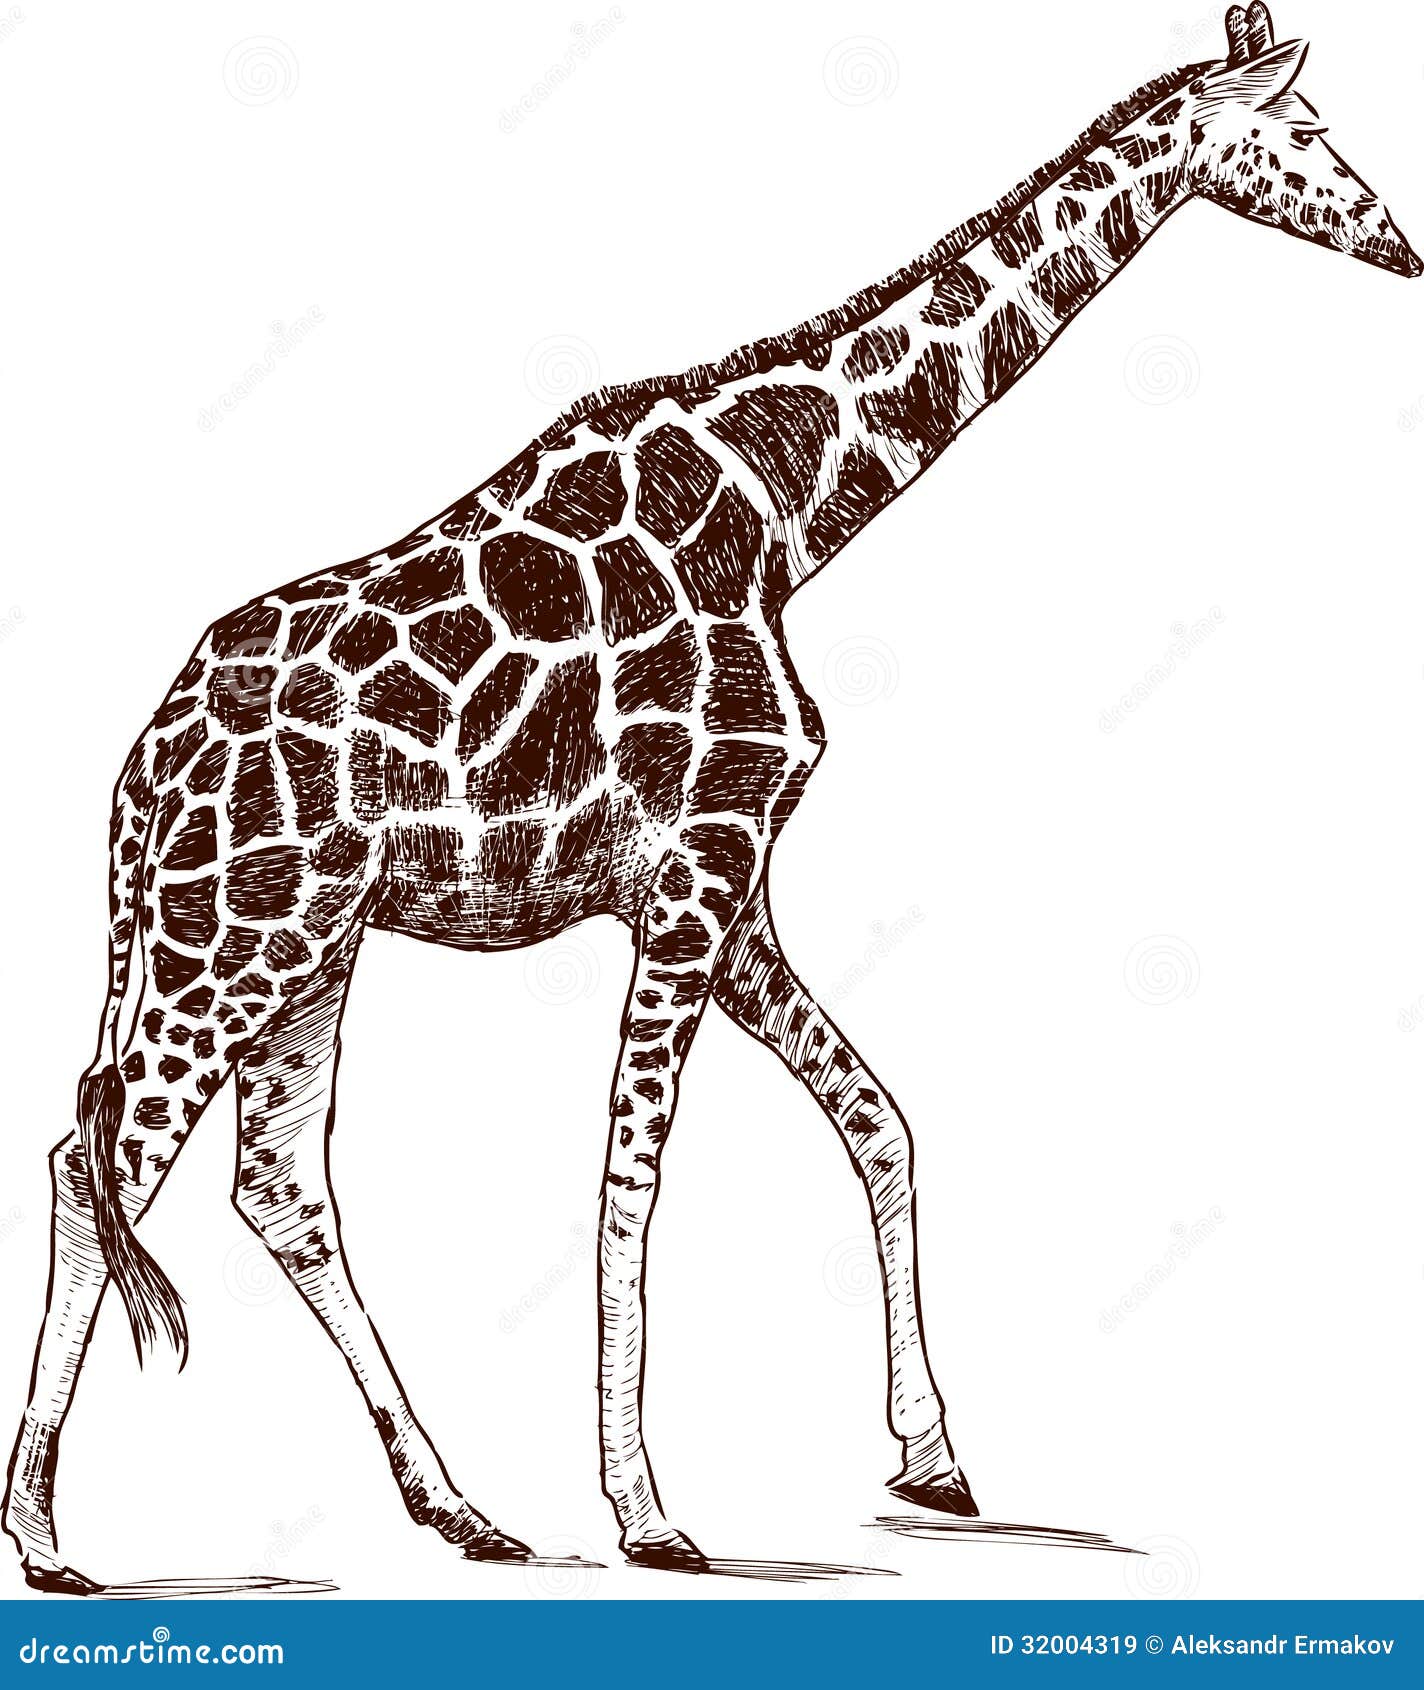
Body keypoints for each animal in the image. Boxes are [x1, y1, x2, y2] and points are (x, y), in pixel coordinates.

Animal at [5, 6, 1417, 1591]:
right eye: (1308, 130)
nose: (1403, 246)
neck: (788, 510)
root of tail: (136, 777)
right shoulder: (694, 868)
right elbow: (633, 1180)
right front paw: (648, 1510)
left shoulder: (725, 885)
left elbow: (878, 1117)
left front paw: (930, 1455)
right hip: (229, 941)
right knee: (93, 1161)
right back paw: (46, 1534)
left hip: (307, 945)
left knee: (276, 1183)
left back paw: (462, 1509)